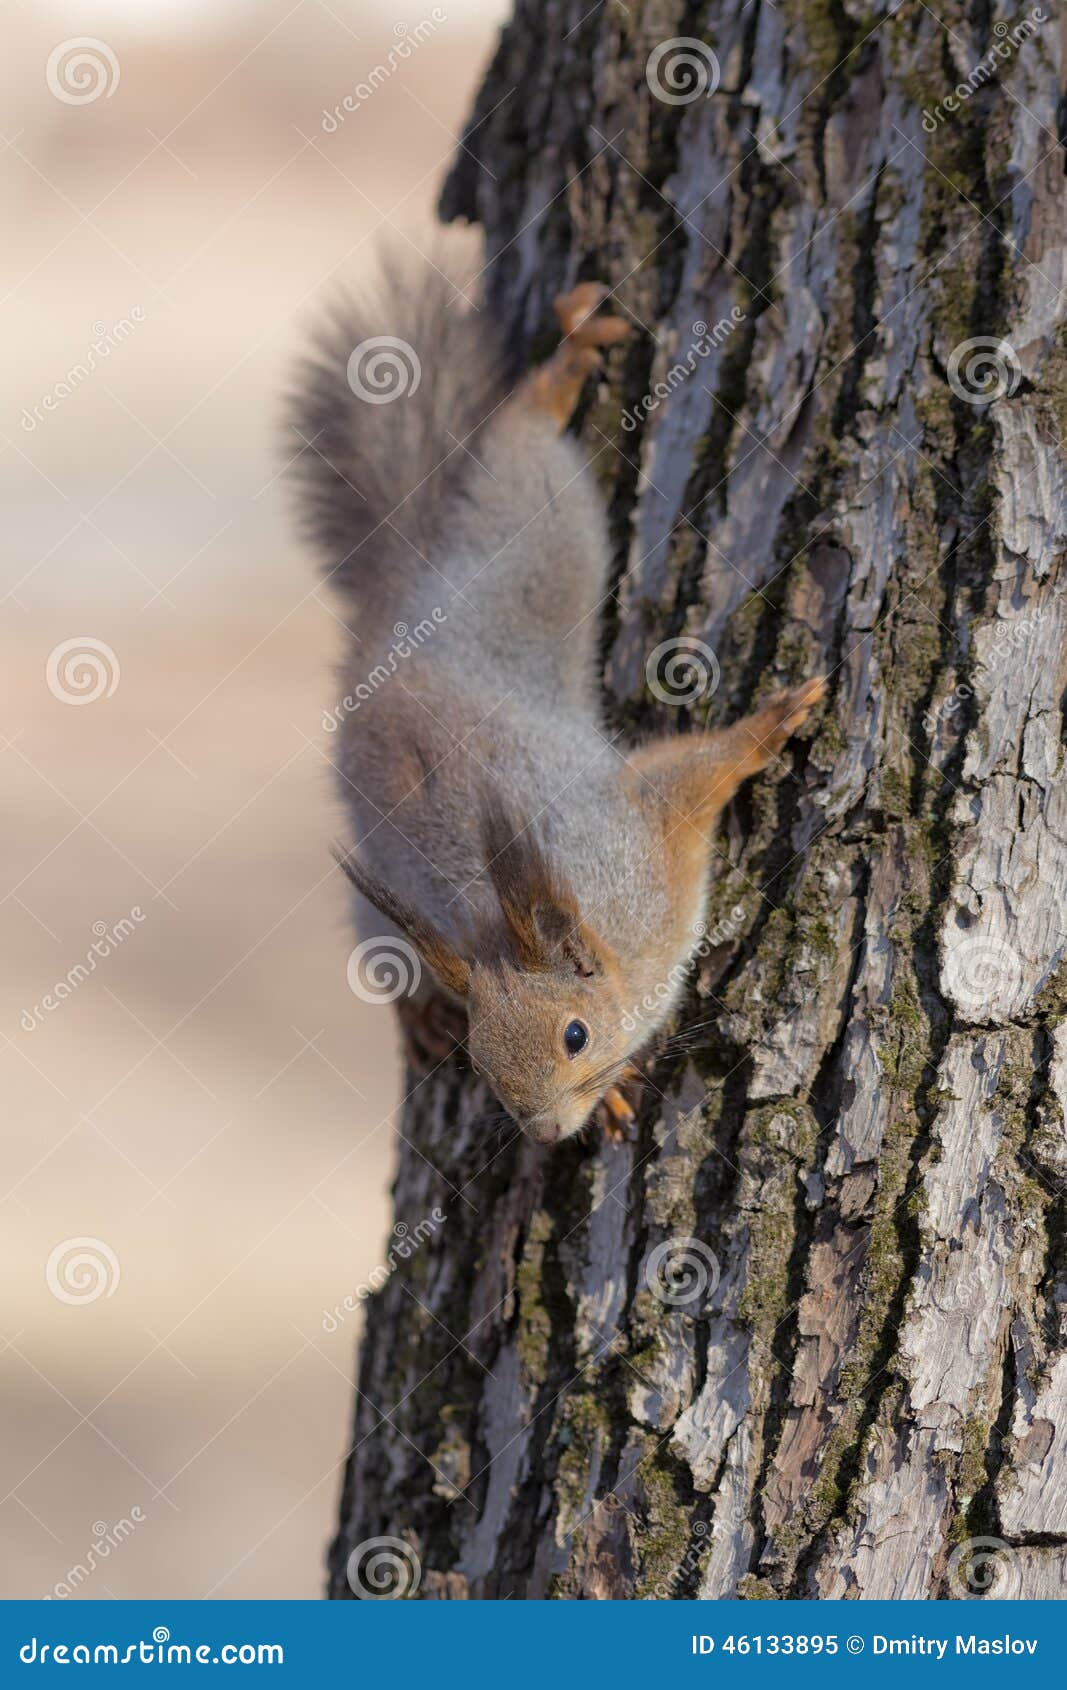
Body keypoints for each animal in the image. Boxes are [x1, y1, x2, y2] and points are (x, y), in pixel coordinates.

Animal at [289, 257, 825, 1147]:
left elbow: (697, 768)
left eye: (574, 1035)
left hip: (531, 548)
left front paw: (770, 724)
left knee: (522, 445)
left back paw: (563, 365)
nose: (541, 1132)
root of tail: (392, 606)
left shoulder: (641, 833)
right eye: (480, 1062)